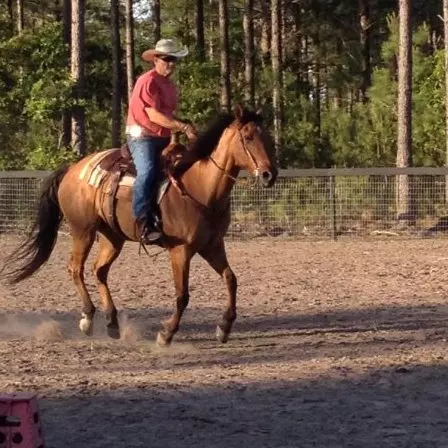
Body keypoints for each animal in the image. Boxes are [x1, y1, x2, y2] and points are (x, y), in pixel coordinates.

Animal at [1, 105, 278, 346]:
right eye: (248, 137)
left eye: (267, 136)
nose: (269, 175)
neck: (199, 187)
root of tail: (72, 169)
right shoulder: (180, 251)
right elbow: (182, 296)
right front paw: (166, 334)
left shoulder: (212, 245)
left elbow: (231, 279)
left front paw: (224, 327)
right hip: (82, 231)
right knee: (75, 269)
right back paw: (88, 318)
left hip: (113, 237)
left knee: (99, 271)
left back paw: (112, 324)